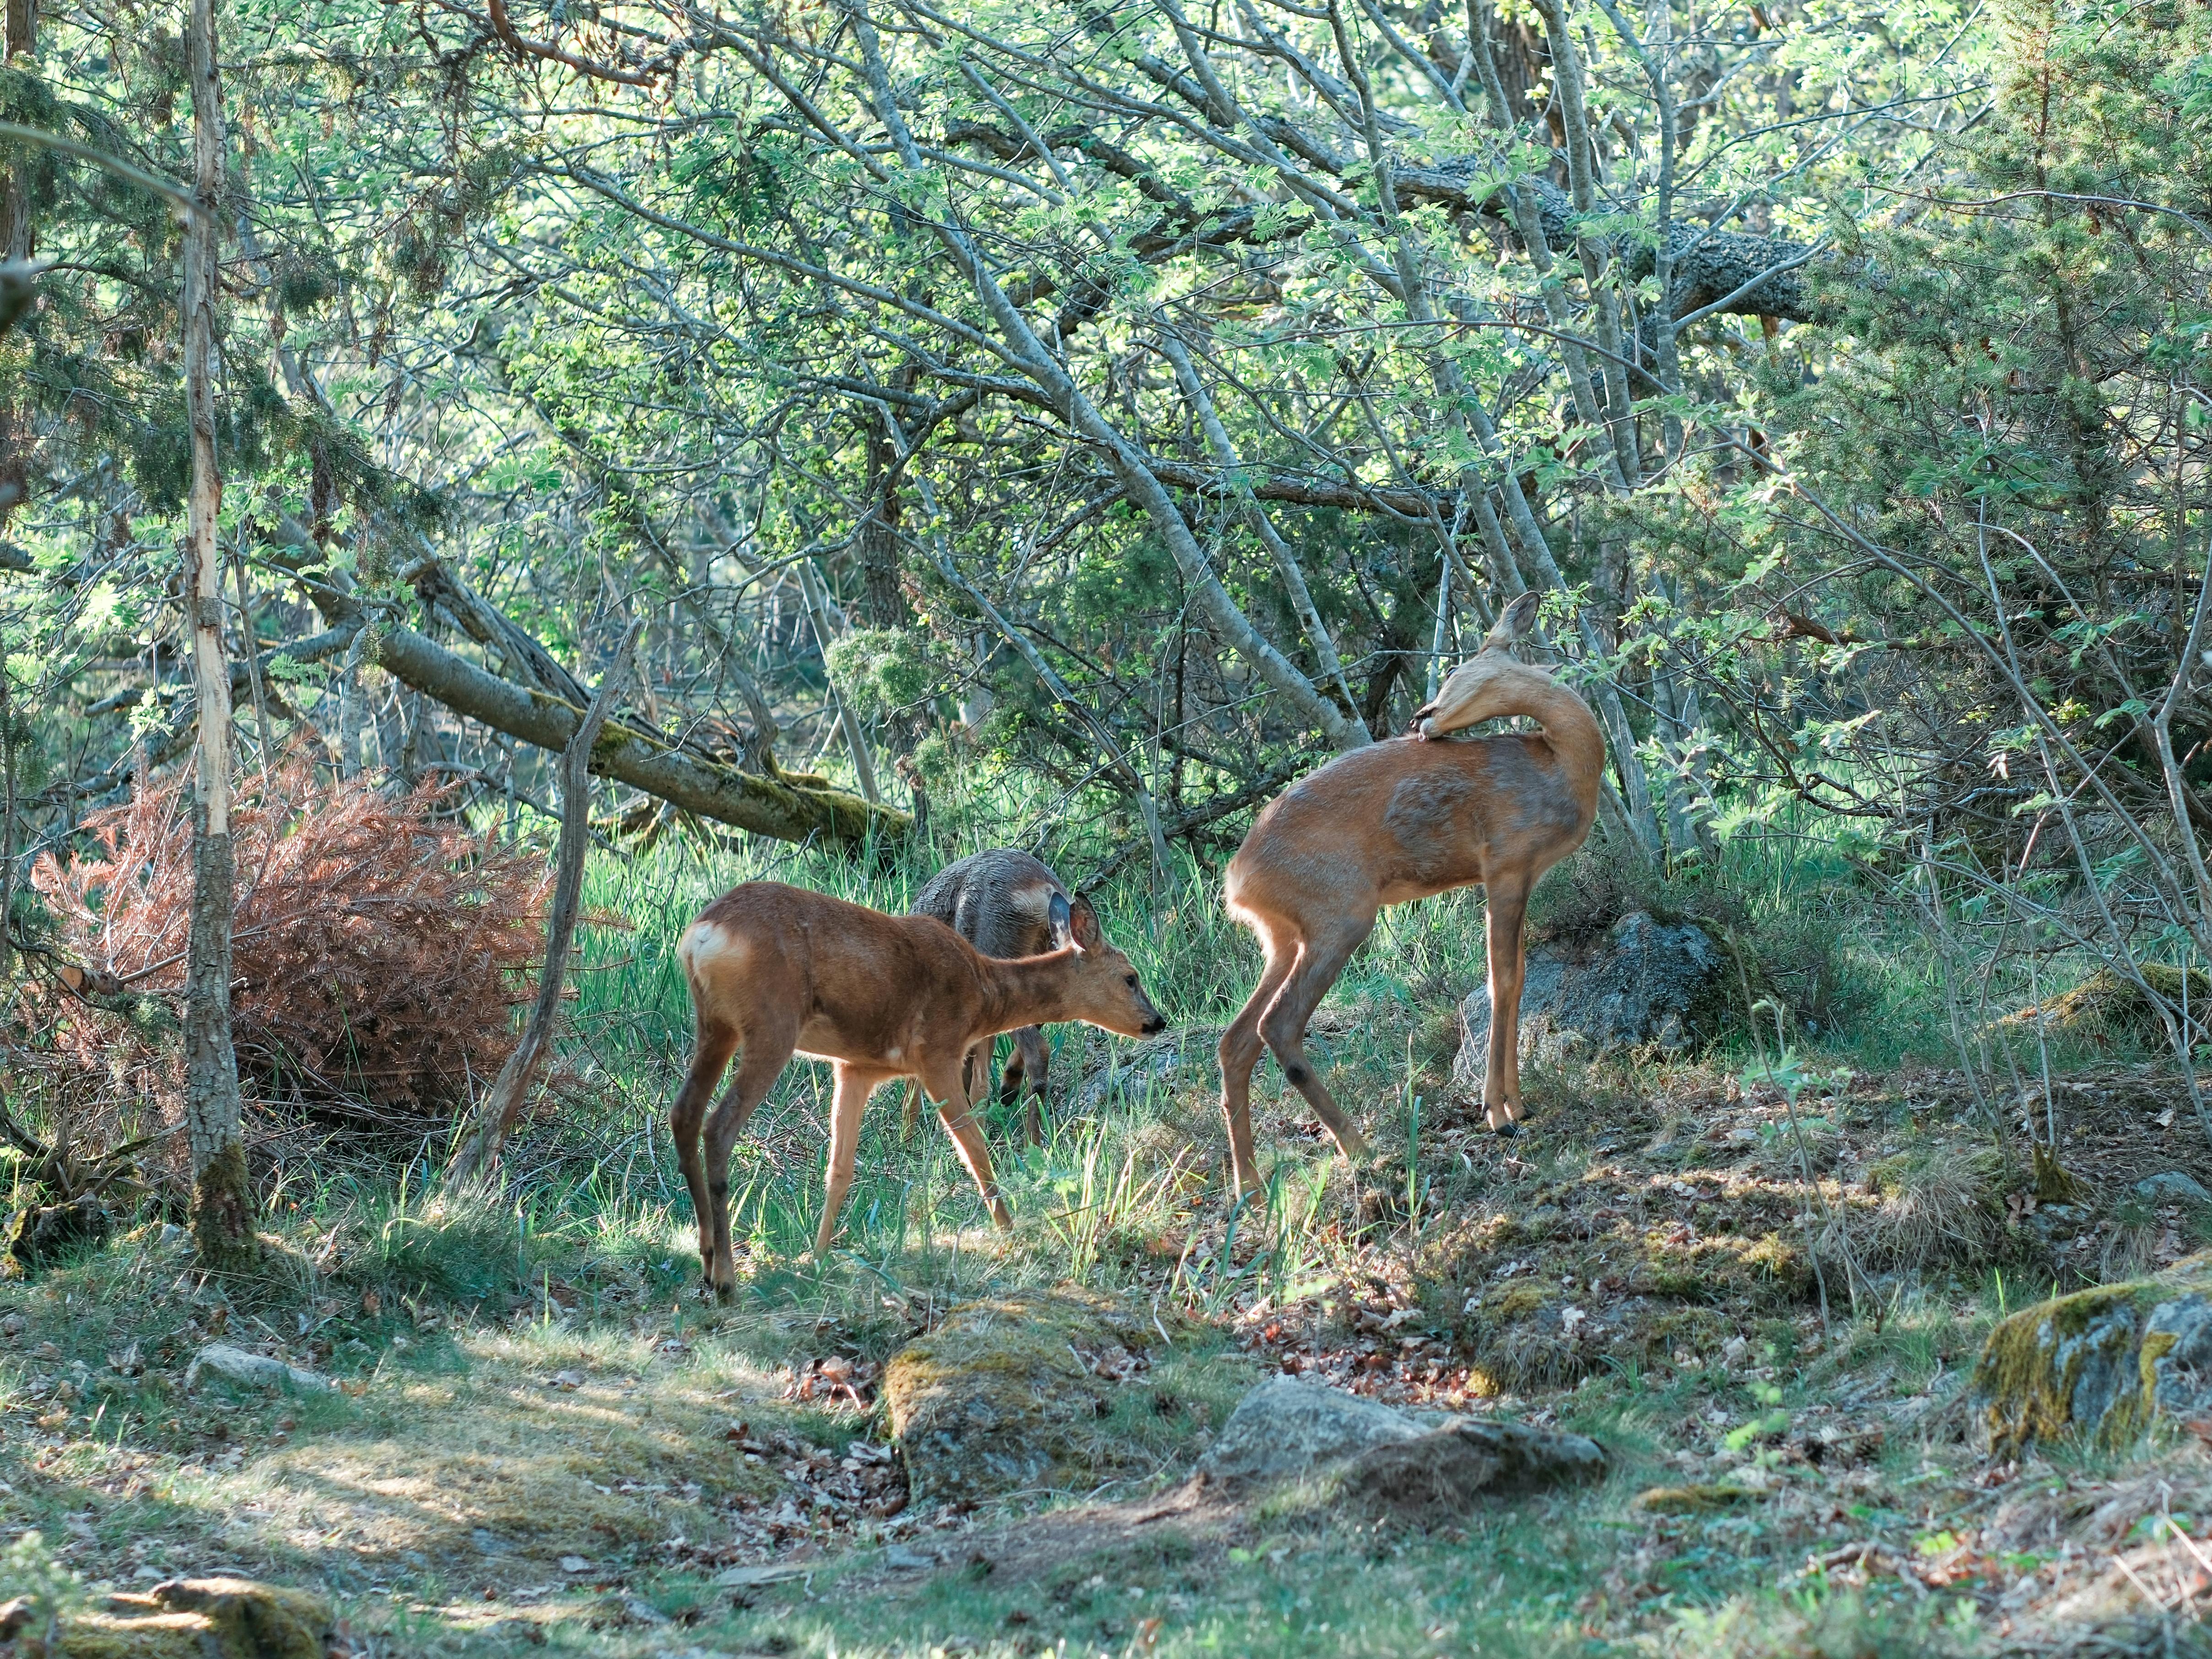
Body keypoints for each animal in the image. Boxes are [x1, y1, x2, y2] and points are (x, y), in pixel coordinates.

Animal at [670, 881, 1166, 1293]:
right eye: (1130, 976)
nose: (1157, 1020)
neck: (983, 993)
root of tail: (702, 934)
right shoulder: (937, 1052)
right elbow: (974, 1149)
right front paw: (1012, 1232)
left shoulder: (856, 1066)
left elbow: (840, 1169)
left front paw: (819, 1258)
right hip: (773, 1023)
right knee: (719, 1125)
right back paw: (726, 1278)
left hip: (714, 1024)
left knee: (684, 1113)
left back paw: (708, 1258)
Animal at [1215, 592, 1603, 1194]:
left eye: (1458, 666)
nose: (1421, 718)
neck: (1561, 762)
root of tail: (1237, 881)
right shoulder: (1505, 863)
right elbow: (1501, 980)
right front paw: (1497, 1113)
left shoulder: (1524, 875)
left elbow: (1517, 978)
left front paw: (1519, 1103)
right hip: (1342, 916)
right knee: (1277, 1026)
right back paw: (1360, 1146)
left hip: (1282, 938)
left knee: (1235, 1039)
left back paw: (1251, 1184)